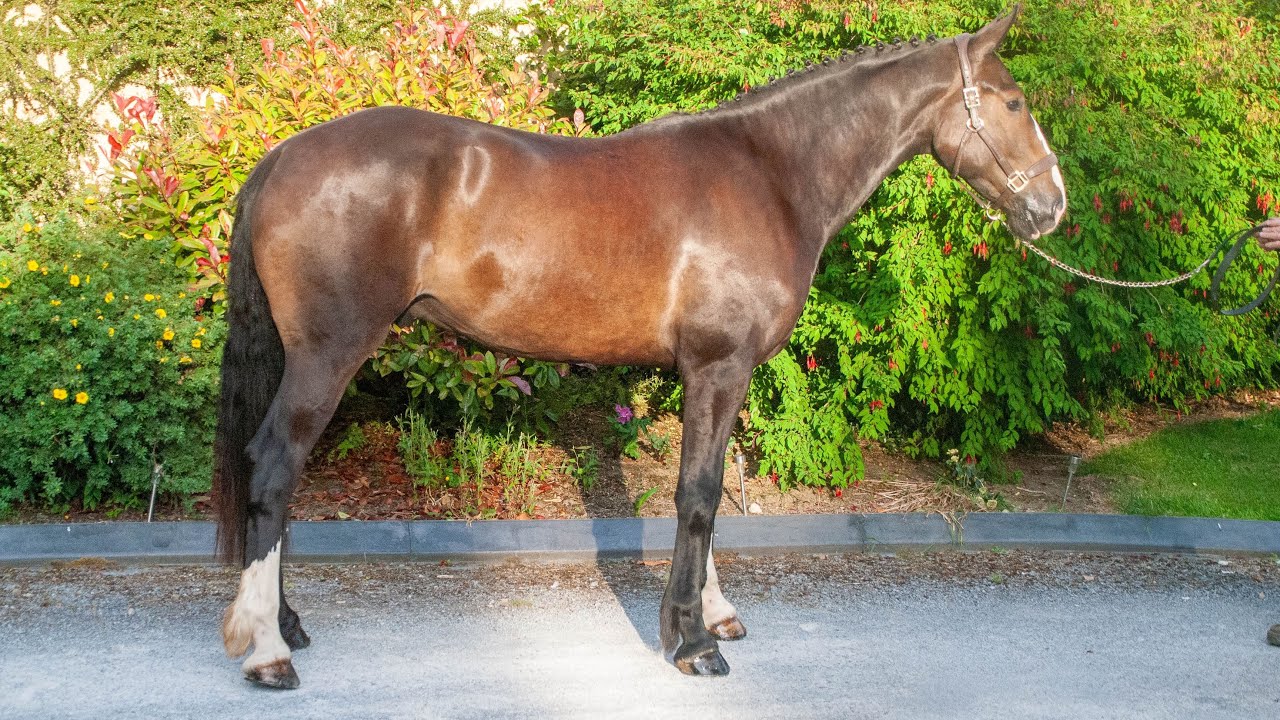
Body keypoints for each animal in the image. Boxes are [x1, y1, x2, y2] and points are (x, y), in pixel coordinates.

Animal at [213, 6, 1065, 688]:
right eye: (1014, 101)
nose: (1052, 207)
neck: (770, 173)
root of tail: (282, 157)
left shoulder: (720, 373)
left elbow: (709, 494)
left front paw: (715, 616)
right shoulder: (717, 367)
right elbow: (699, 497)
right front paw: (691, 643)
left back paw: (285, 625)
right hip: (329, 354)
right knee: (275, 466)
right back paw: (266, 651)